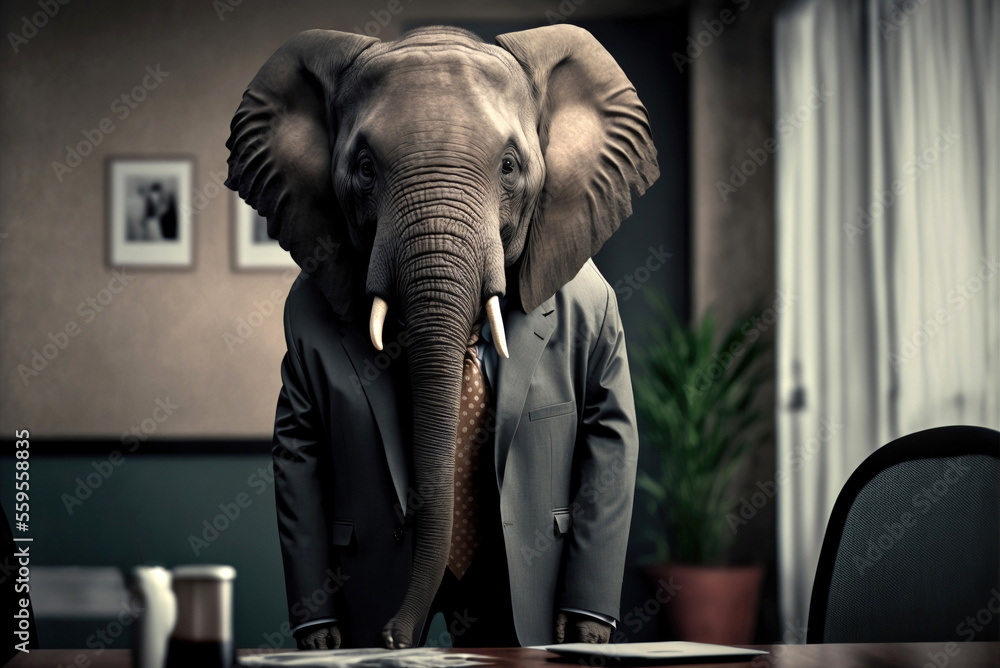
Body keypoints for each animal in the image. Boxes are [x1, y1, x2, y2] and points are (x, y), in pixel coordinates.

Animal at [225, 24, 658, 648]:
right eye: (364, 168)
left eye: (509, 166)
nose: (391, 637)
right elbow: (300, 444)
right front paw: (326, 642)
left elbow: (608, 430)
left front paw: (581, 633)